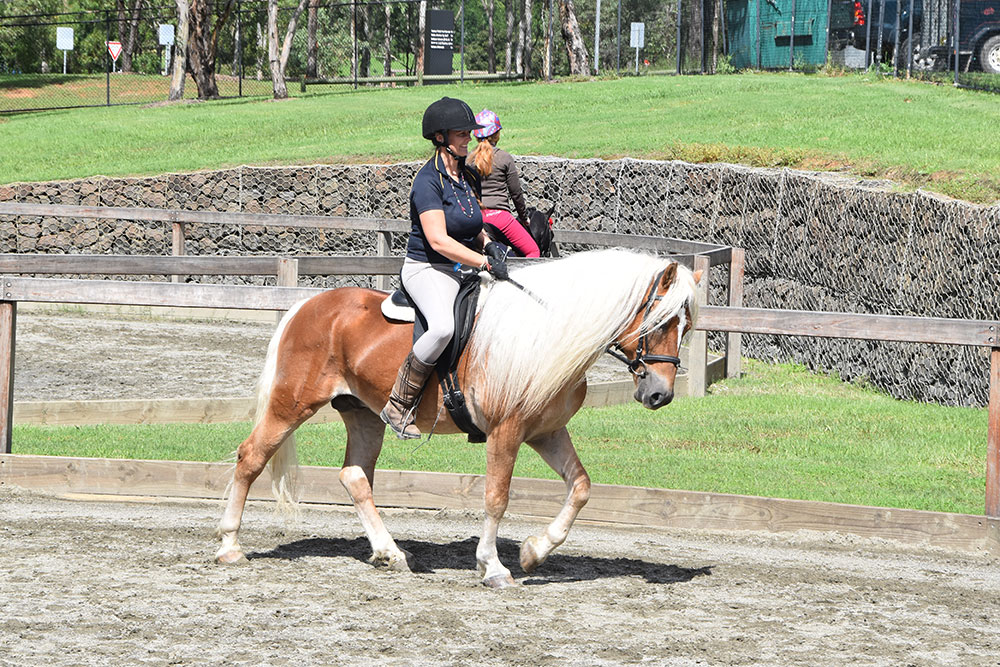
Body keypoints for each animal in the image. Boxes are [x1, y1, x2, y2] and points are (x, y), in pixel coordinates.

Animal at [216, 248, 702, 588]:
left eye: (687, 326)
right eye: (660, 321)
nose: (660, 394)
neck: (547, 335)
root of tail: (306, 307)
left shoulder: (545, 431)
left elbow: (580, 487)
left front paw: (535, 552)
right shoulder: (507, 431)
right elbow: (496, 498)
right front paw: (494, 567)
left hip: (364, 415)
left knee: (355, 476)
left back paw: (390, 553)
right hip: (291, 405)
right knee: (250, 458)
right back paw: (230, 545)